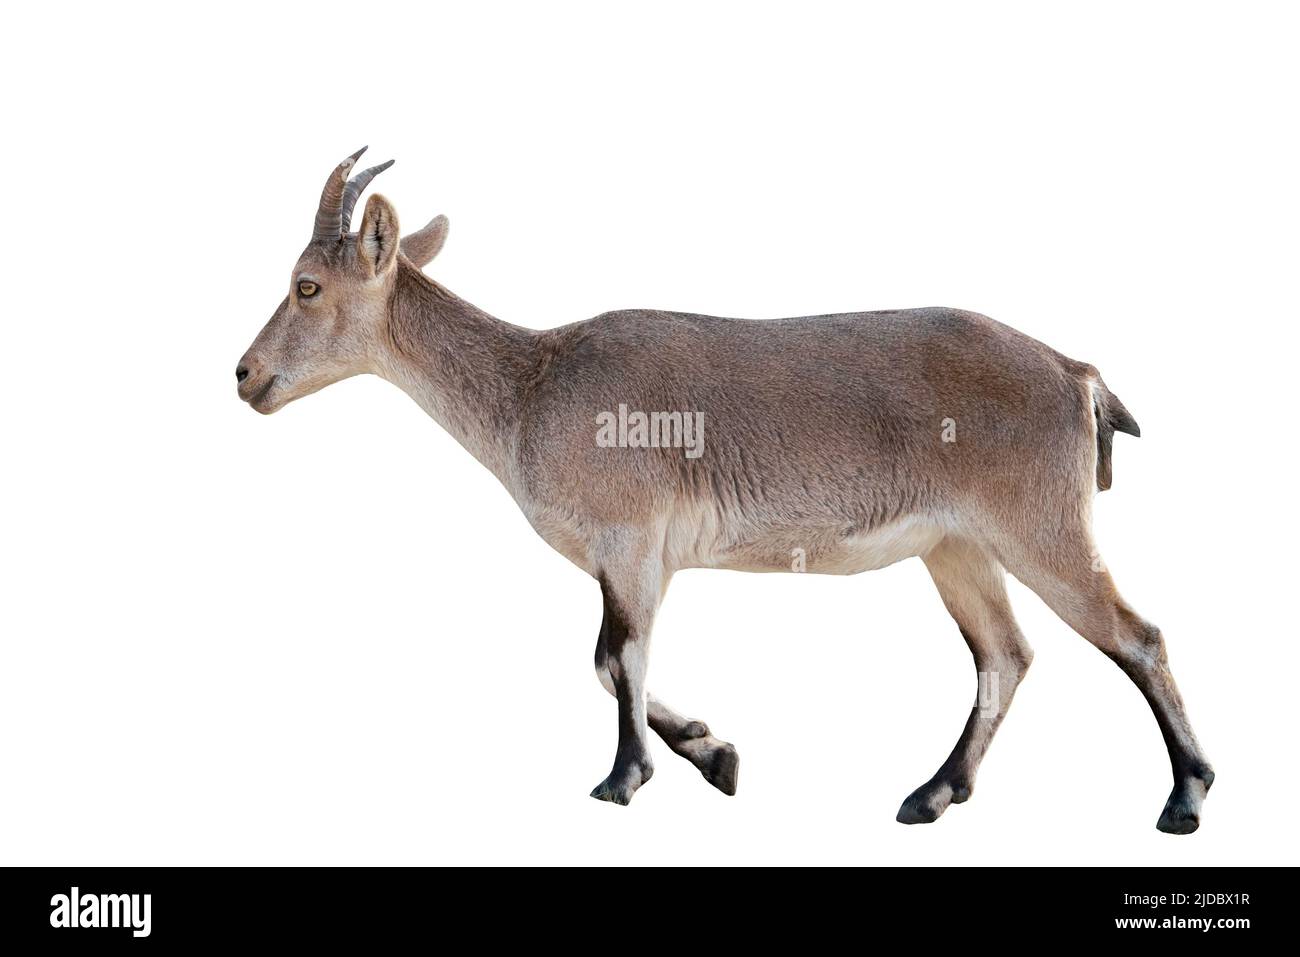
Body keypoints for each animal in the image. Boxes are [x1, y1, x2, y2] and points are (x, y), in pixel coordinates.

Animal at [237, 149, 1213, 832]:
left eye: (306, 284)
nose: (245, 375)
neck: (532, 386)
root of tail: (1077, 374)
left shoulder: (631, 542)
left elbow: (614, 657)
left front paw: (624, 779)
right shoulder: (641, 559)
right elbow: (616, 663)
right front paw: (718, 755)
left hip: (1038, 525)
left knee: (1137, 635)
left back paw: (1186, 798)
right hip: (957, 548)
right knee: (1005, 653)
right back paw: (932, 794)